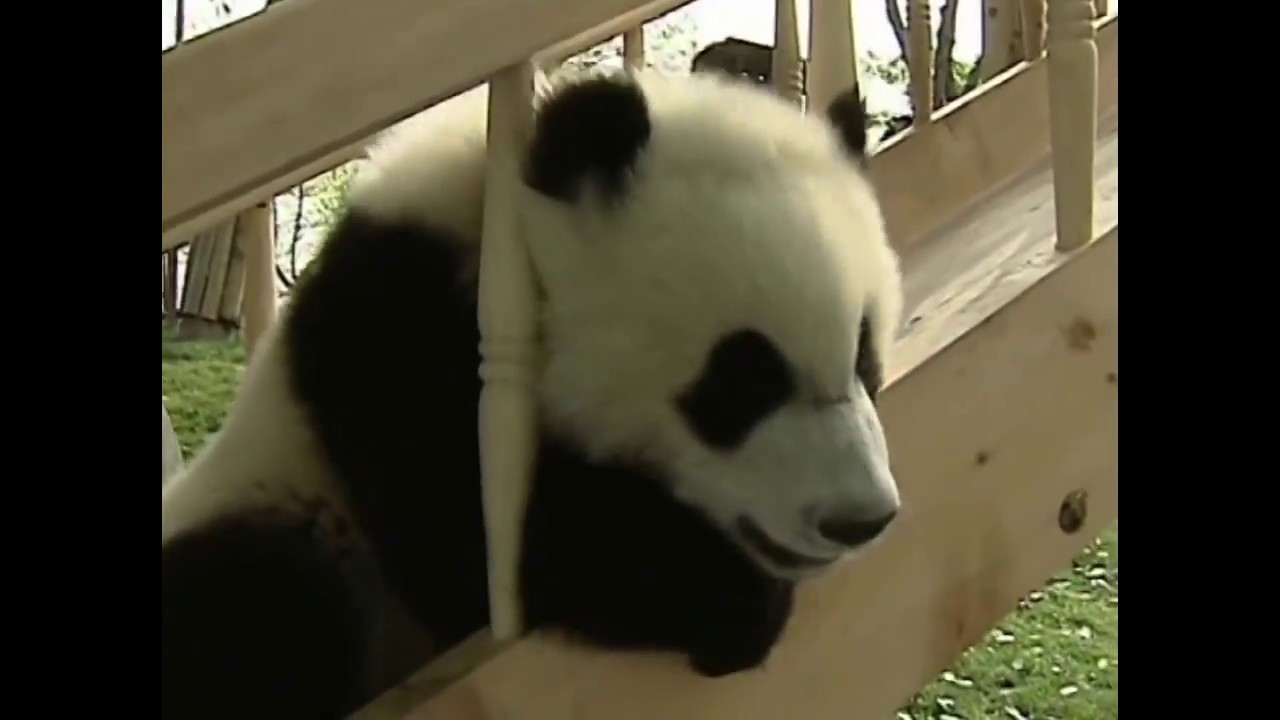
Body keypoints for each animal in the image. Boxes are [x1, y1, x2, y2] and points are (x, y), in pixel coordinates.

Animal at [161, 67, 904, 720]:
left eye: (865, 357)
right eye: (743, 379)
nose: (859, 520)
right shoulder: (391, 329)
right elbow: (489, 543)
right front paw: (733, 601)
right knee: (261, 595)